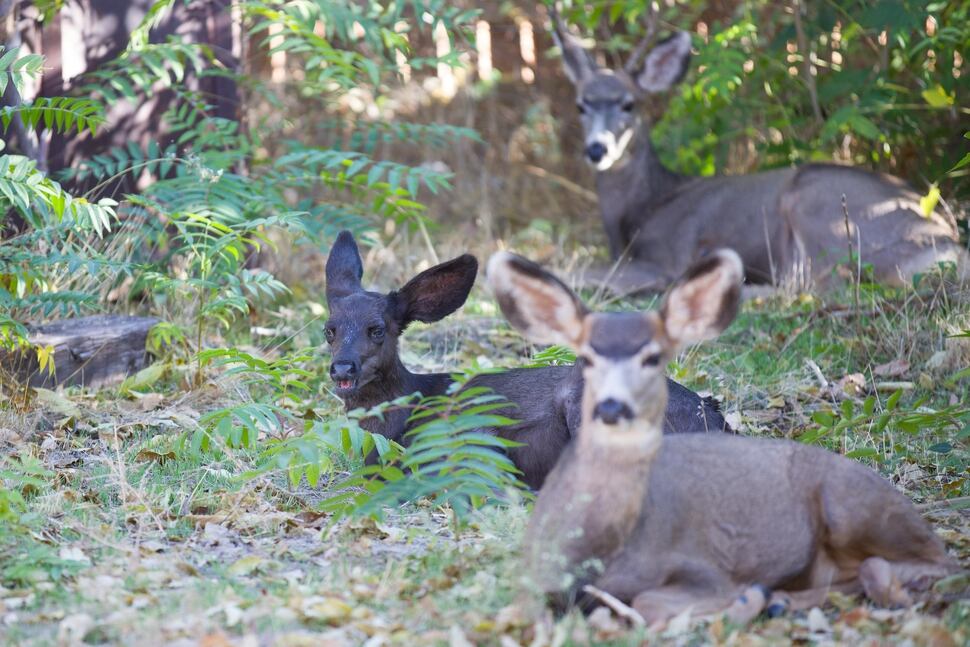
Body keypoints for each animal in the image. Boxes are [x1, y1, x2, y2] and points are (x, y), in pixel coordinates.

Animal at [550, 9, 967, 292]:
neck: (641, 211)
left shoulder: (666, 258)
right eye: (581, 105)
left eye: (629, 104)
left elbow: (569, 271)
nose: (597, 149)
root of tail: (948, 241)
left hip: (820, 207)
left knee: (824, 285)